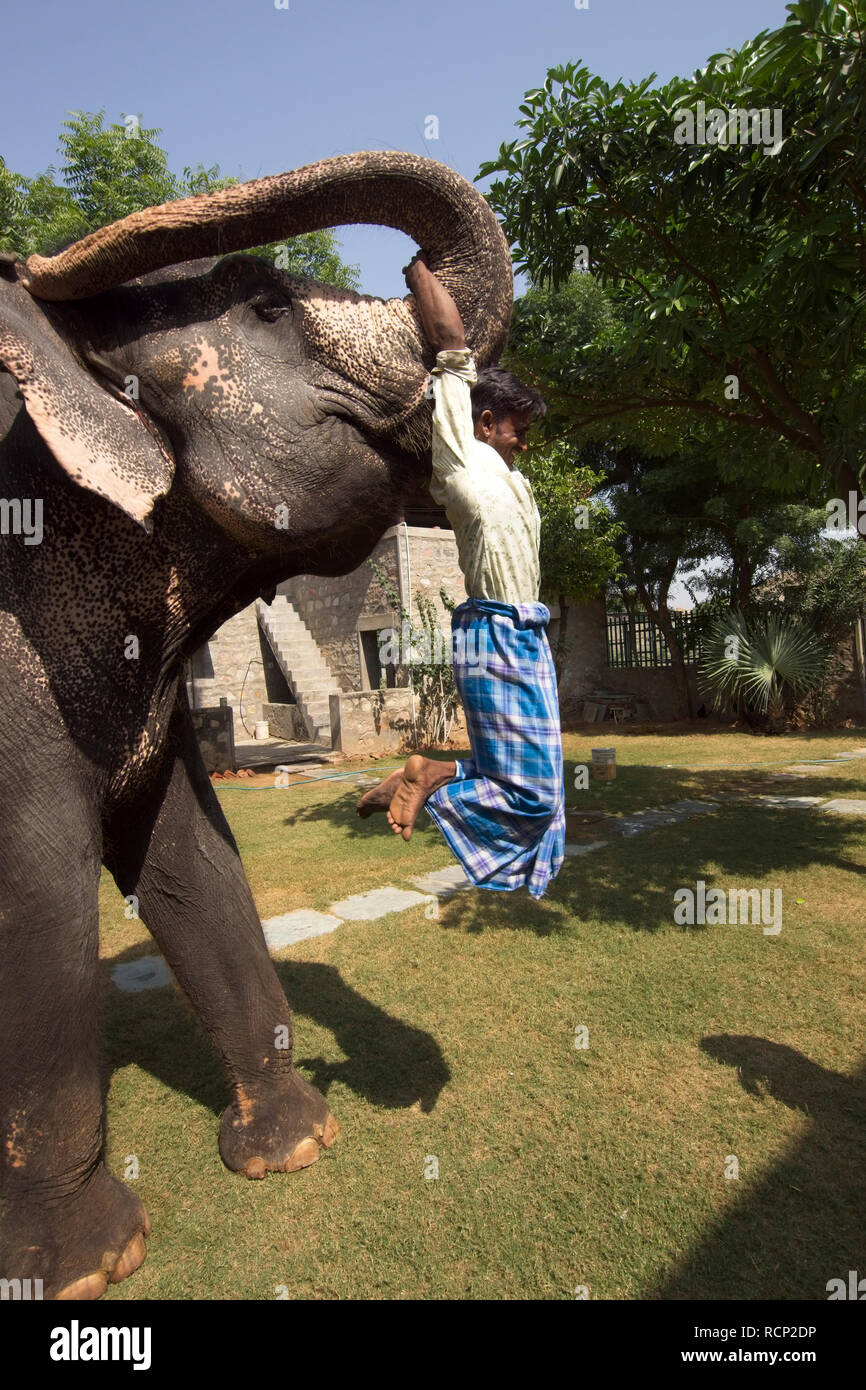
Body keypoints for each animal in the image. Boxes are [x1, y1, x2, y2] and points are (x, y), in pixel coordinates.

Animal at [0, 150, 513, 1299]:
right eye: (269, 304)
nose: (31, 258)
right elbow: (42, 899)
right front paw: (83, 1270)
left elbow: (193, 855)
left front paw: (294, 1145)